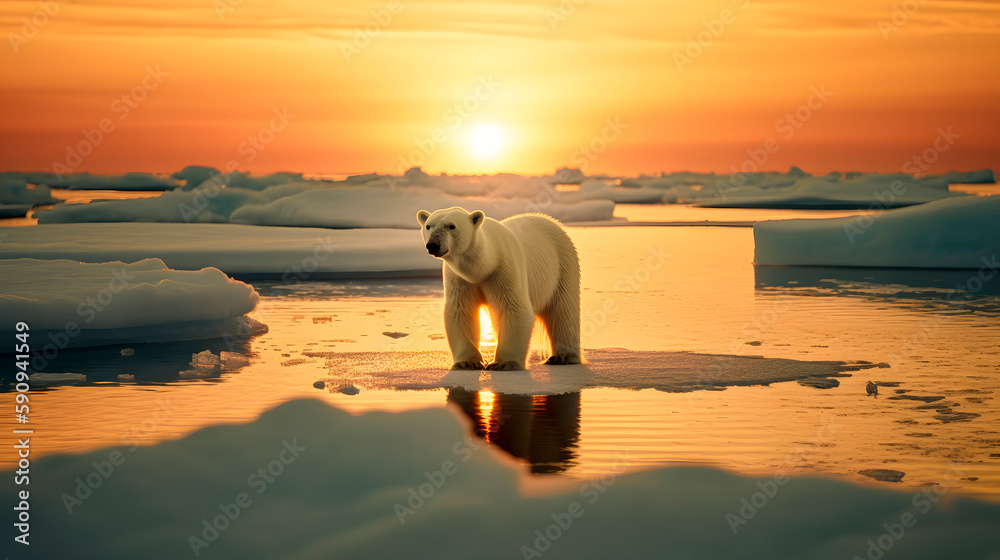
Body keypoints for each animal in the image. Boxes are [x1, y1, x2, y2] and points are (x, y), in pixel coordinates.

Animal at [417, 207, 581, 371]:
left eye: (451, 226)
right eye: (428, 226)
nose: (433, 245)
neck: (484, 265)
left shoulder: (504, 269)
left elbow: (513, 308)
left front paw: (503, 363)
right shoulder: (459, 278)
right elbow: (461, 311)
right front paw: (467, 362)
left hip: (563, 264)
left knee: (563, 310)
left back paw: (563, 357)